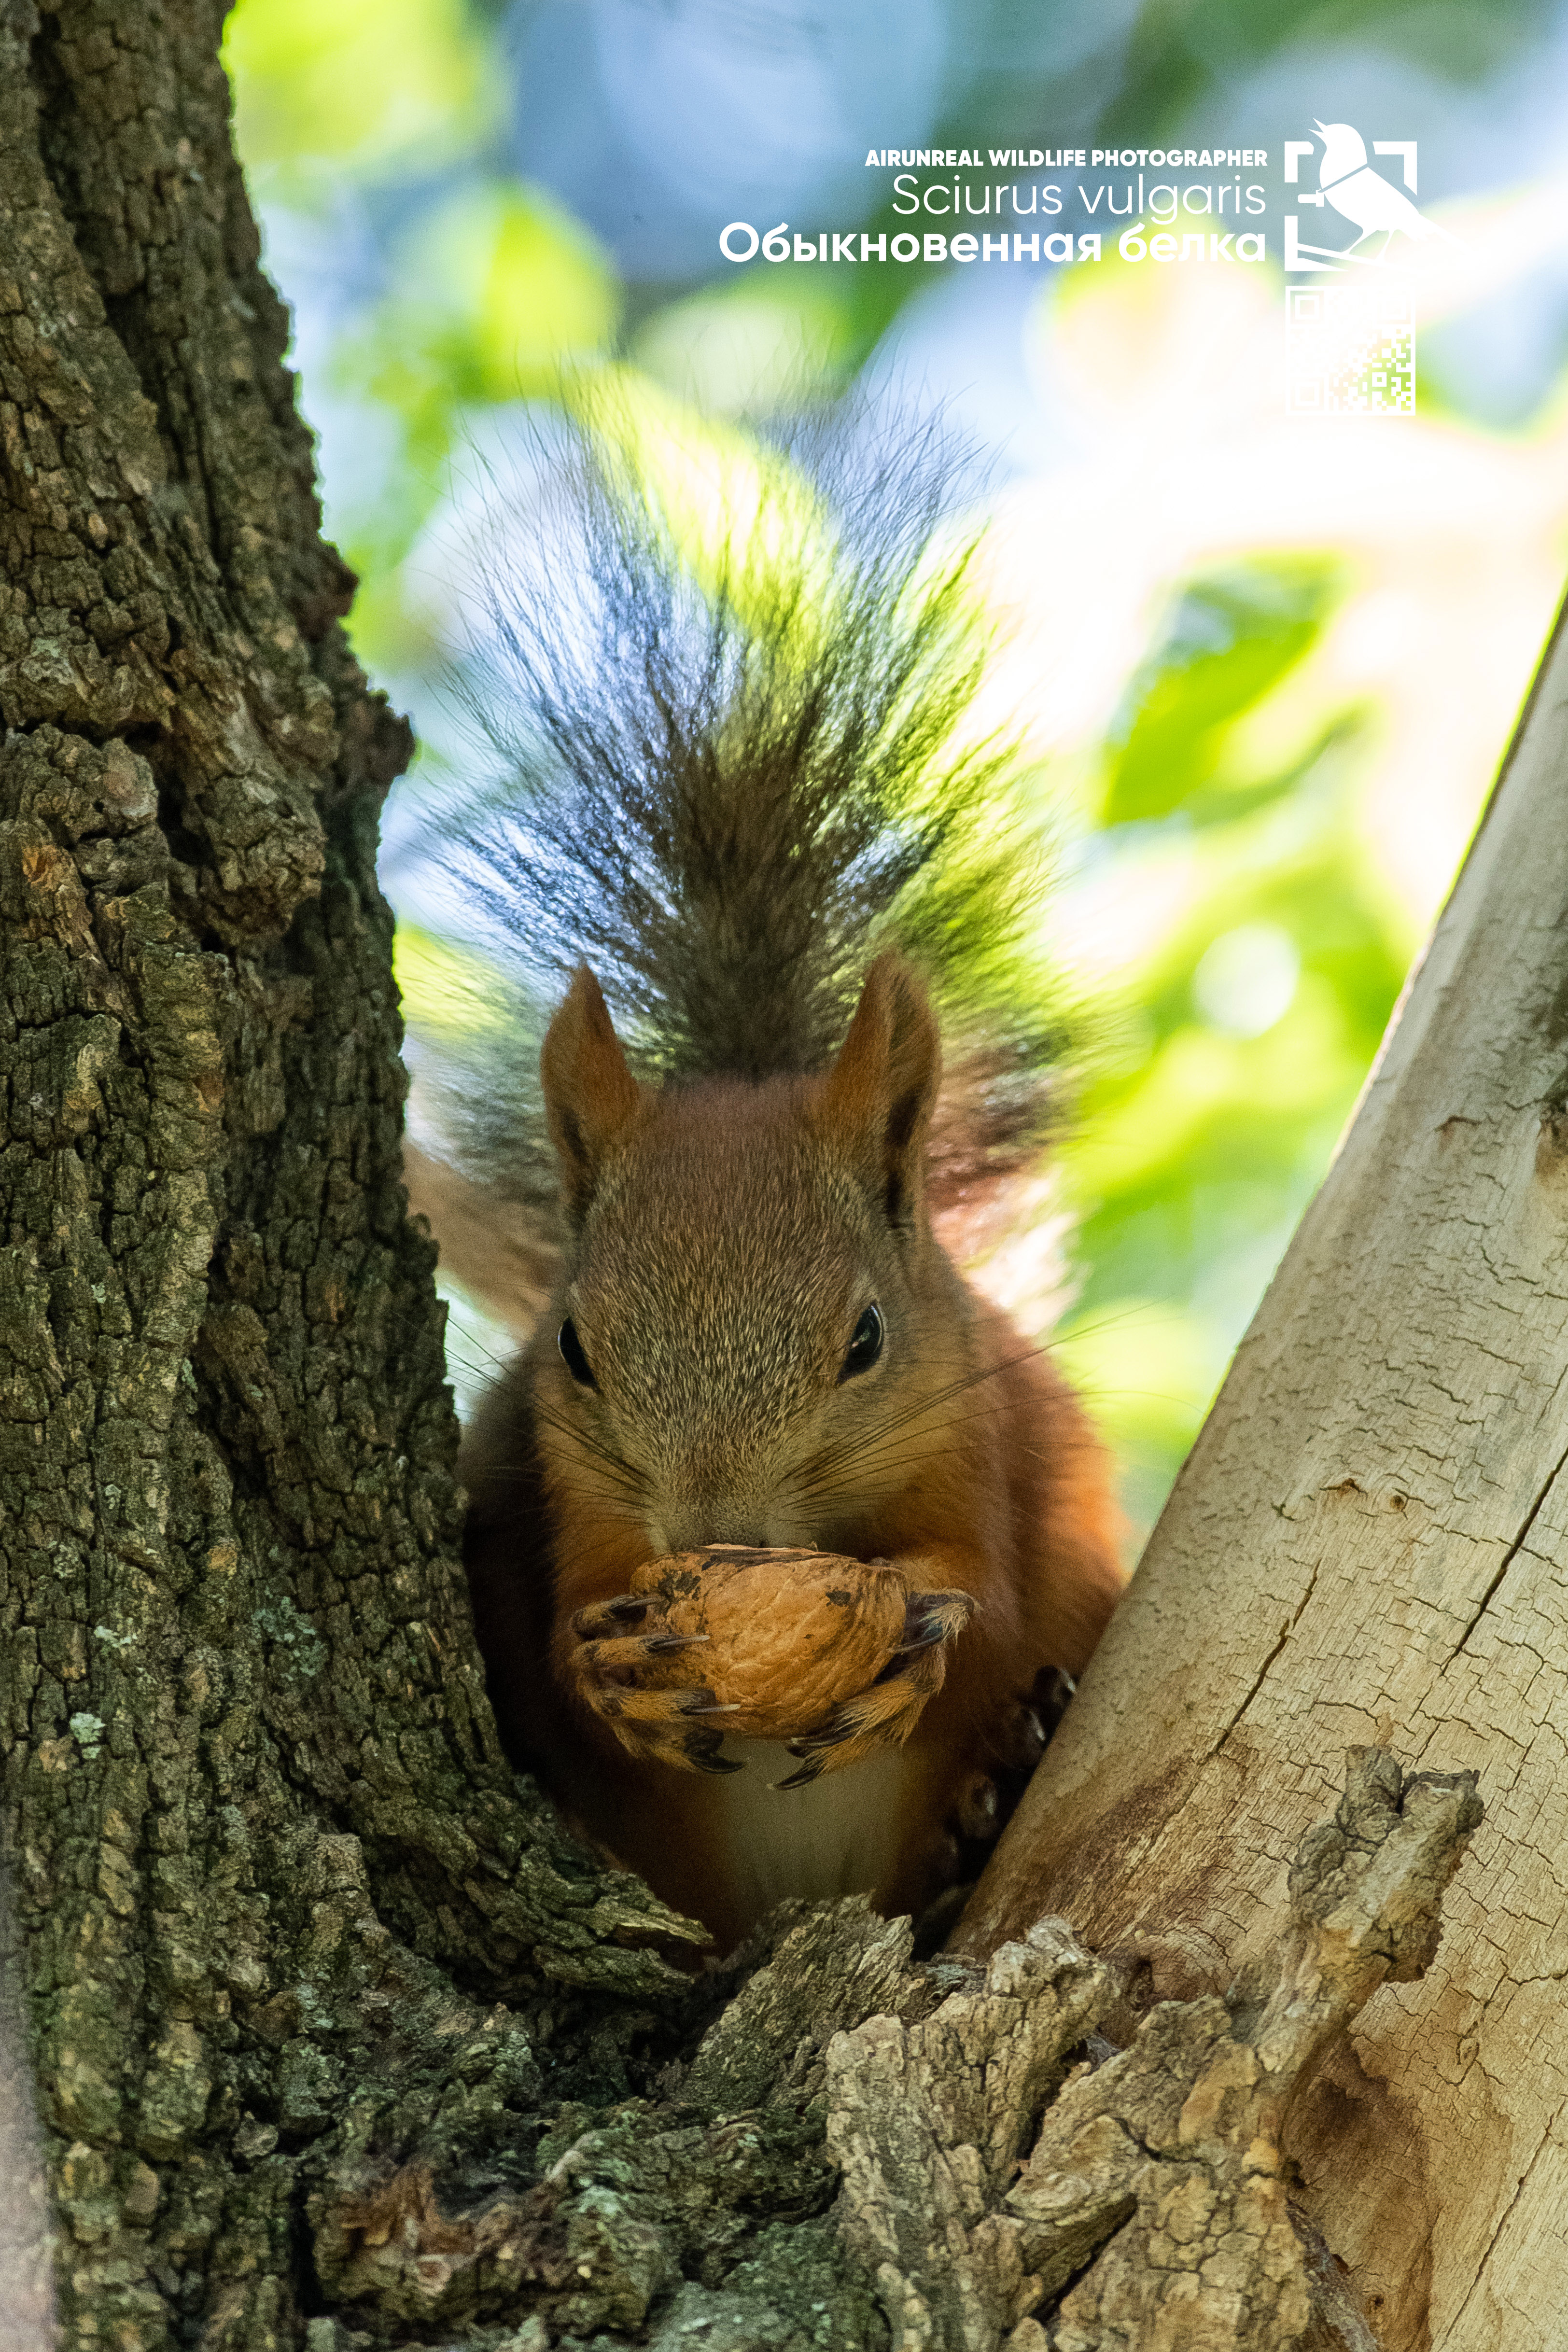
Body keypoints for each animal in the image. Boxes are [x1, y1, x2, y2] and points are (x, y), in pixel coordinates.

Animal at [409, 414, 1128, 1957]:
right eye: (574, 1348)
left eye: (866, 1340)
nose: (714, 1539)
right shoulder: (570, 1481)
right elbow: (566, 1618)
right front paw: (609, 1667)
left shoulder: (969, 1431)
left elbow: (981, 1574)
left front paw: (927, 1641)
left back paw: (1000, 1790)